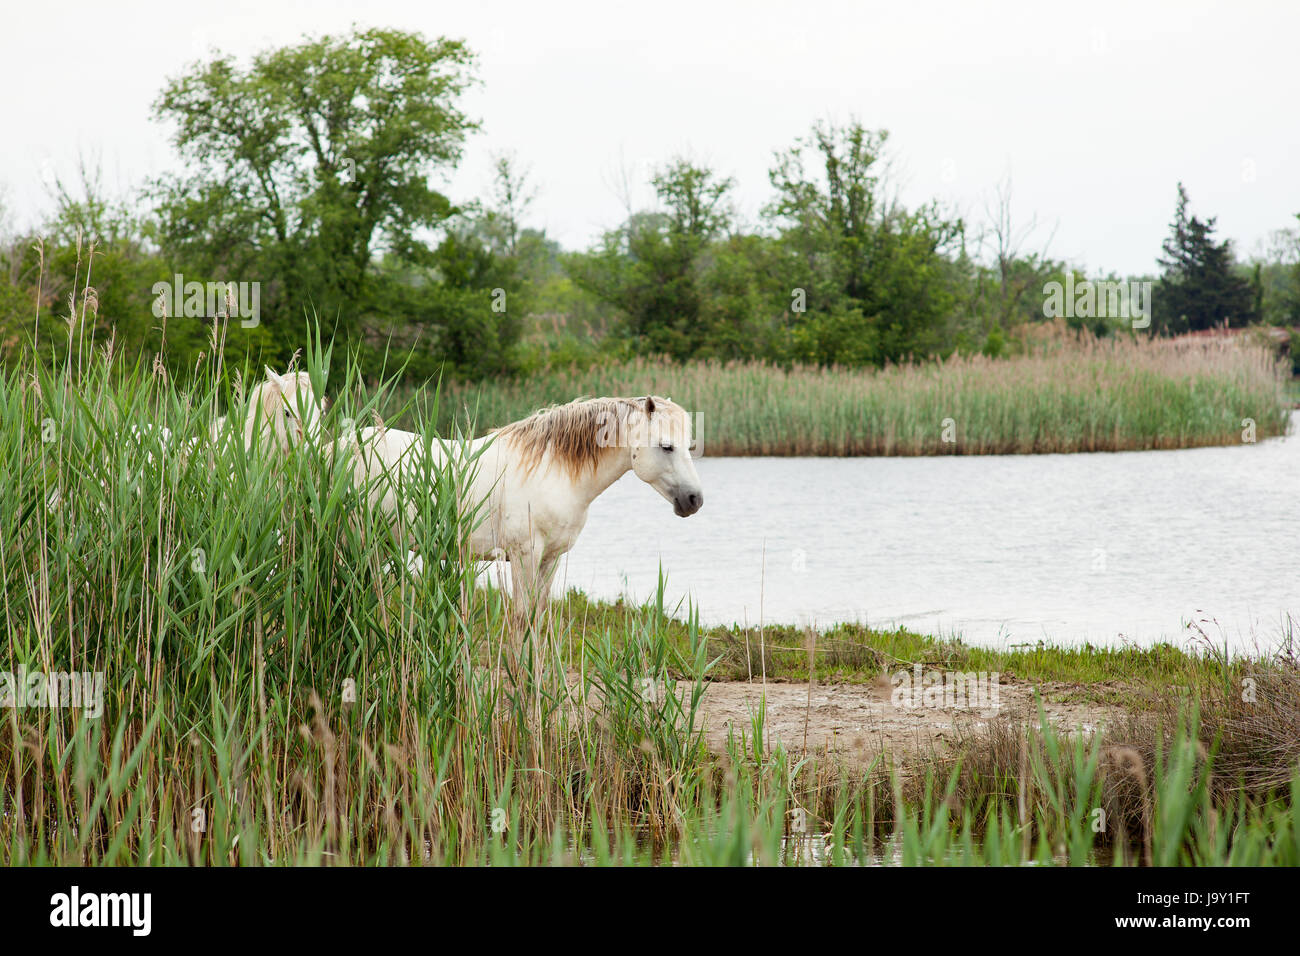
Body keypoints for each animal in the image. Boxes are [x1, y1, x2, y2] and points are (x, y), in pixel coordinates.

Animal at [342, 395, 704, 625]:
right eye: (666, 446)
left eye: (688, 446)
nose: (694, 500)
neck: (553, 471)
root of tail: (336, 448)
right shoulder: (523, 556)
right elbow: (519, 619)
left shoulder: (551, 558)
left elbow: (536, 618)